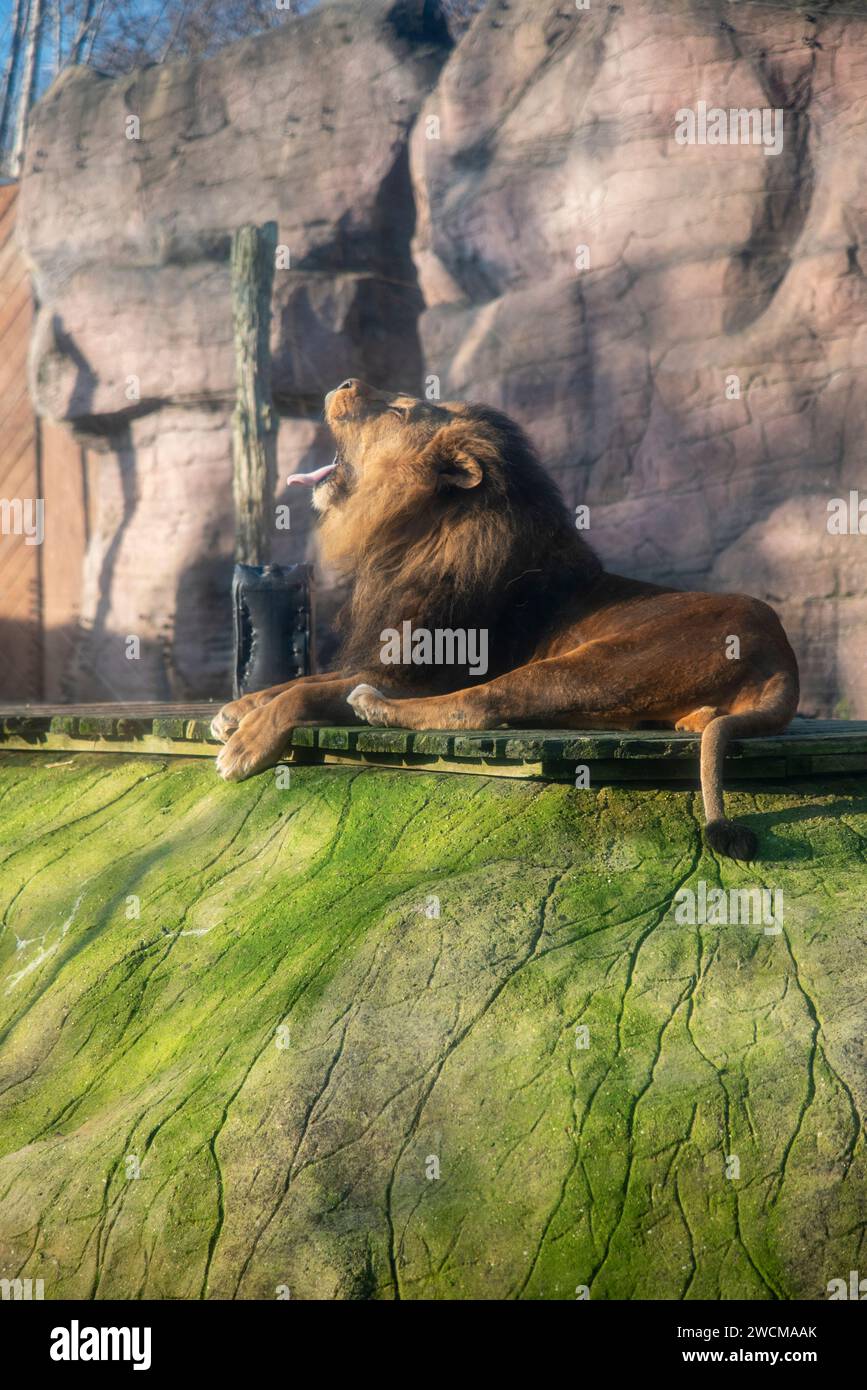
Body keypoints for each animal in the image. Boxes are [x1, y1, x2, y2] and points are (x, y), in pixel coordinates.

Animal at [213, 378, 799, 860]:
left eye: (401, 410)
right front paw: (236, 711)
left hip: (594, 665)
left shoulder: (422, 672)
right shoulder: (384, 652)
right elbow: (300, 680)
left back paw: (373, 708)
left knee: (475, 708)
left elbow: (306, 691)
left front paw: (246, 744)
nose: (345, 382)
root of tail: (783, 655)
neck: (407, 538)